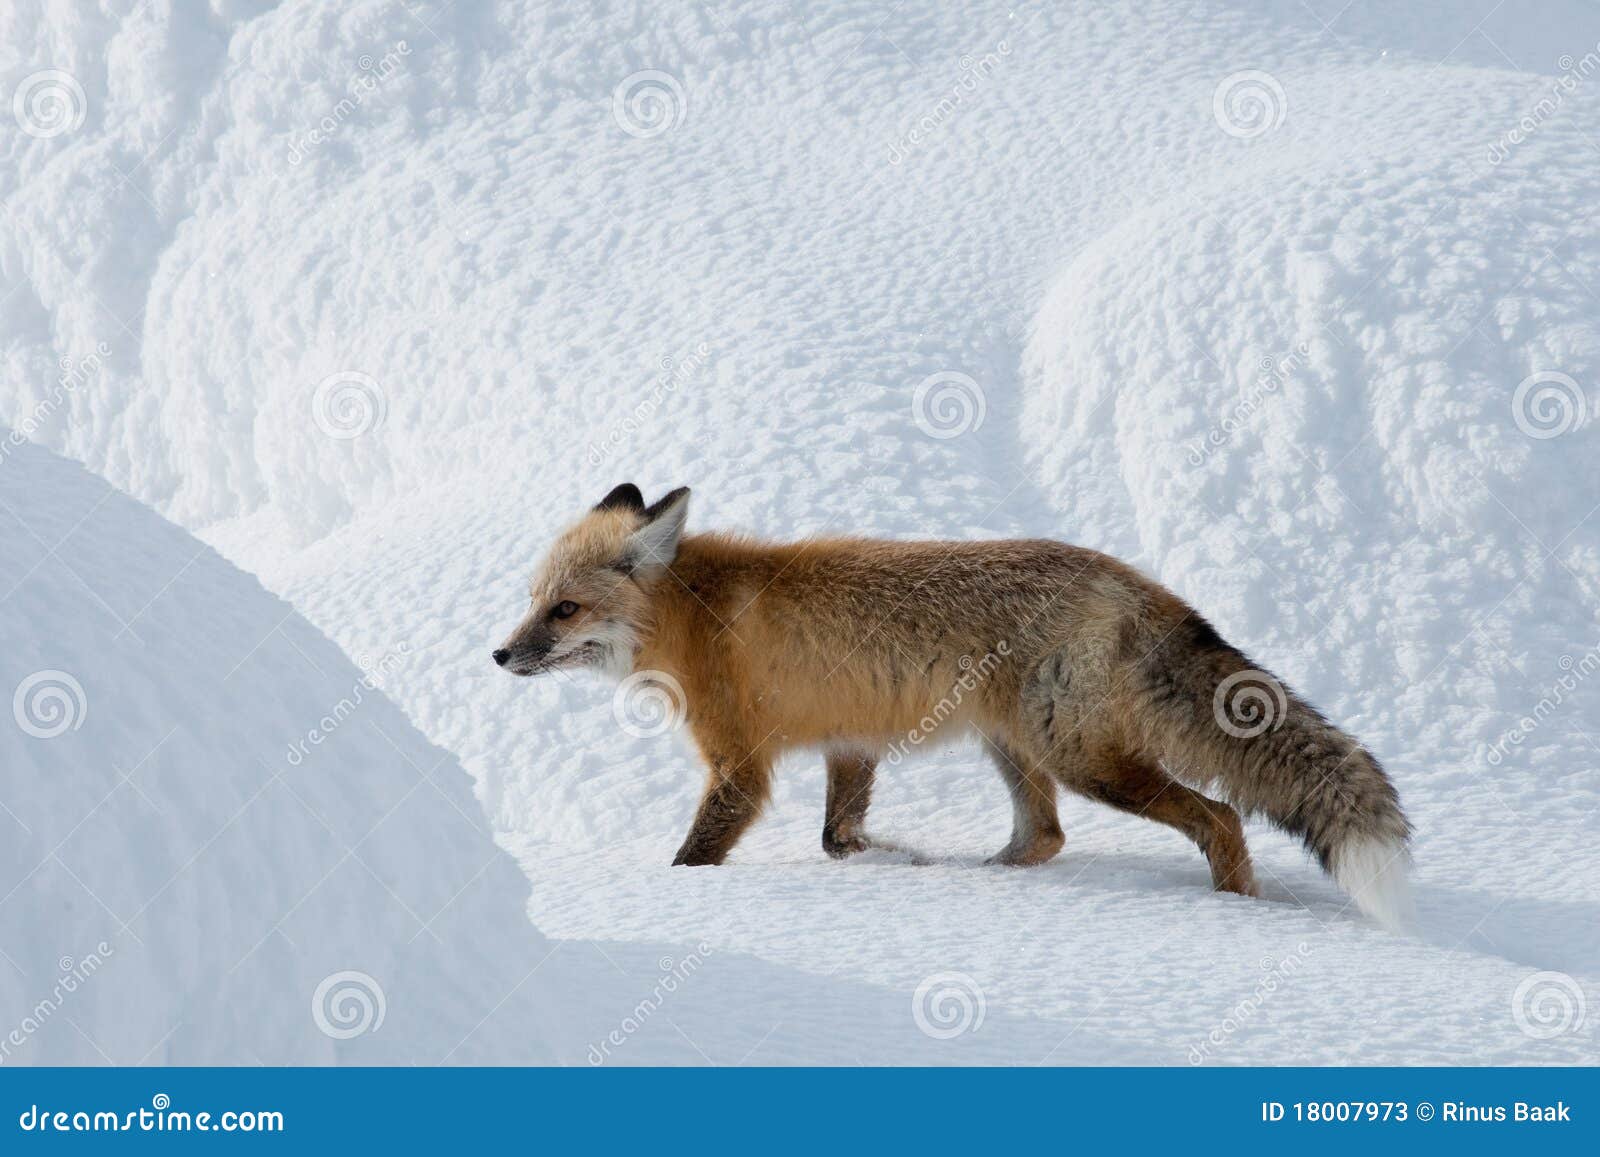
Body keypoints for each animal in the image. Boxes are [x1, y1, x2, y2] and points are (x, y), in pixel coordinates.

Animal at [494, 483, 1413, 930]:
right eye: (531, 599)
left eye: (564, 610)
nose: (500, 654)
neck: (696, 612)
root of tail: (1130, 579)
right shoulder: (850, 740)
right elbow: (837, 837)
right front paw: (896, 863)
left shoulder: (739, 766)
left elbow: (697, 856)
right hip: (1013, 743)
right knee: (1044, 836)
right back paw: (980, 880)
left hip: (1085, 758)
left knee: (1219, 816)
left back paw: (1236, 909)